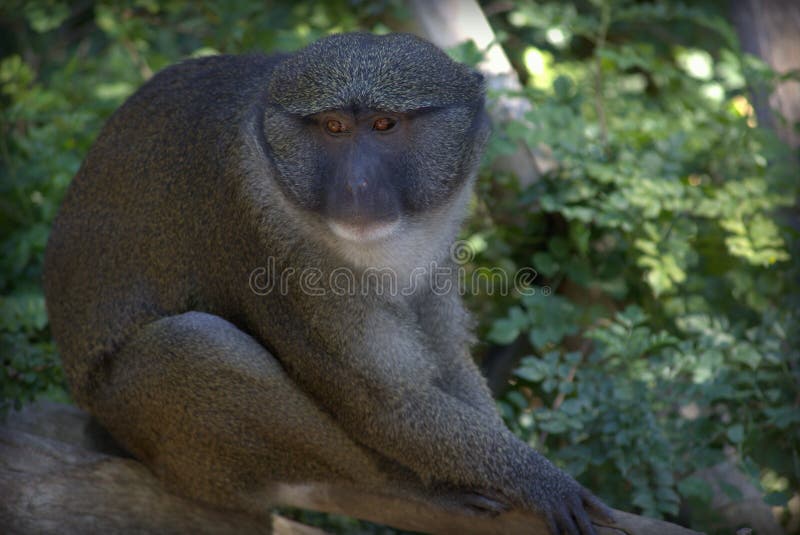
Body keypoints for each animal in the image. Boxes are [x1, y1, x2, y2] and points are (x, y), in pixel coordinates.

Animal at [43, 32, 612, 534]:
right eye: (334, 127)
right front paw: (542, 481)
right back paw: (414, 489)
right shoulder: (262, 236)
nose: (357, 185)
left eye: (384, 124)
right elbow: (383, 403)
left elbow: (445, 356)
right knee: (195, 345)